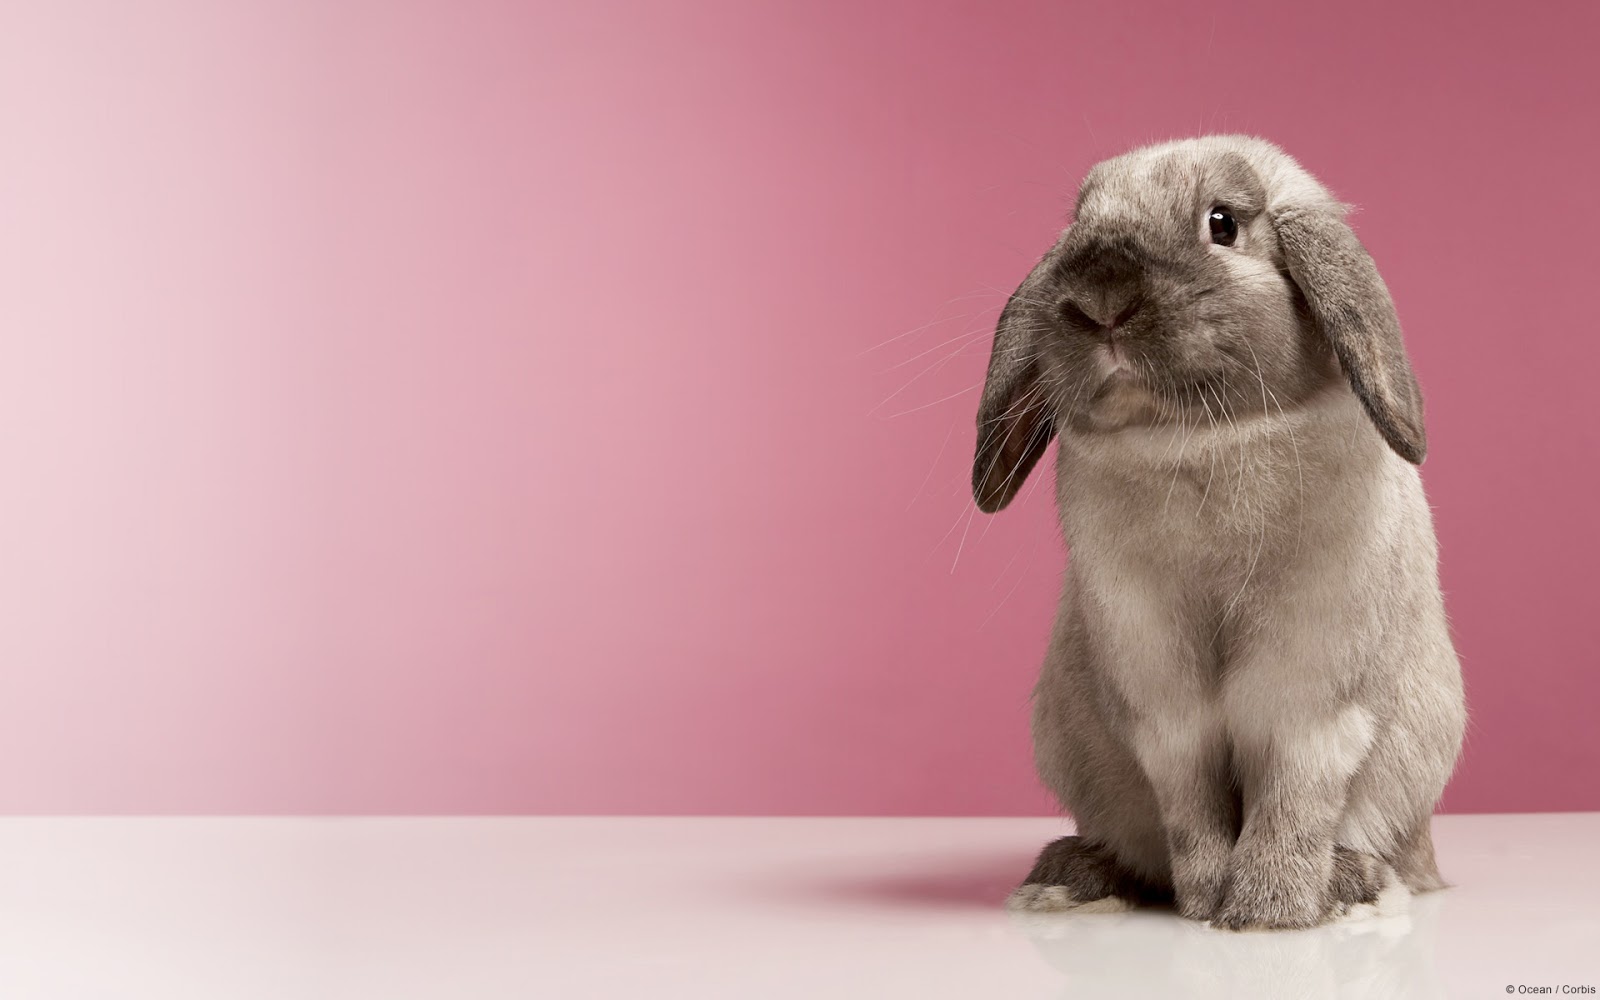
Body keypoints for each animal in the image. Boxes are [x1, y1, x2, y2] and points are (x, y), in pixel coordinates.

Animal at [973, 135, 1465, 930]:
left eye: (1223, 223)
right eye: (1080, 221)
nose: (1100, 298)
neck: (1198, 443)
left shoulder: (1312, 692)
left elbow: (1293, 793)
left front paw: (1269, 910)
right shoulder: (1161, 700)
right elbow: (1191, 800)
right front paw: (1205, 900)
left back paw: (1351, 885)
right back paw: (1070, 879)